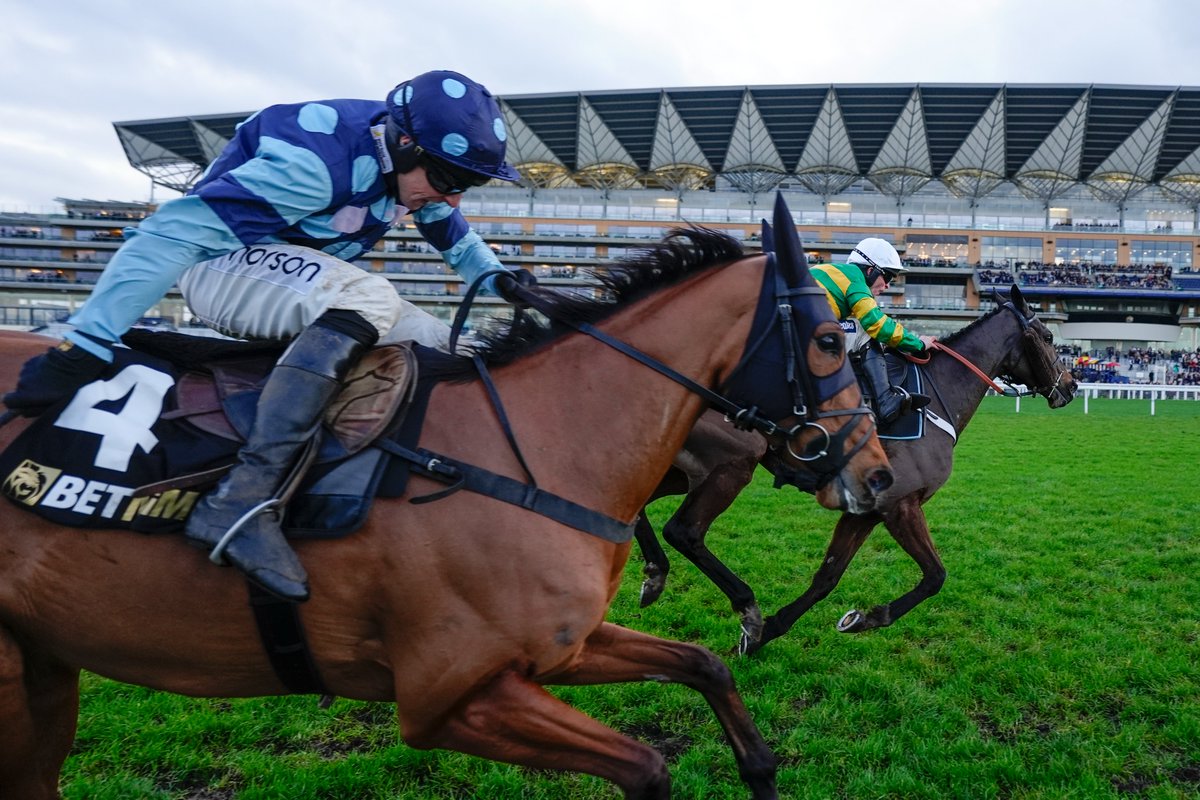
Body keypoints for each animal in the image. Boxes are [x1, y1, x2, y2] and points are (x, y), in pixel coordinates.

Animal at [0, 200, 892, 798]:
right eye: (828, 340)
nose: (880, 475)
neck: (537, 446)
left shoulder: (562, 647)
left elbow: (704, 665)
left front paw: (760, 761)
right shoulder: (449, 699)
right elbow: (646, 768)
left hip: (45, 667)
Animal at [633, 284, 1077, 655]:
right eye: (1049, 337)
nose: (1071, 387)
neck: (933, 396)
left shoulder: (866, 512)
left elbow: (826, 578)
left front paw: (776, 630)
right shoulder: (901, 504)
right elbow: (935, 576)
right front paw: (867, 618)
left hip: (681, 469)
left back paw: (656, 574)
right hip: (731, 463)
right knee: (684, 531)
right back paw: (743, 604)